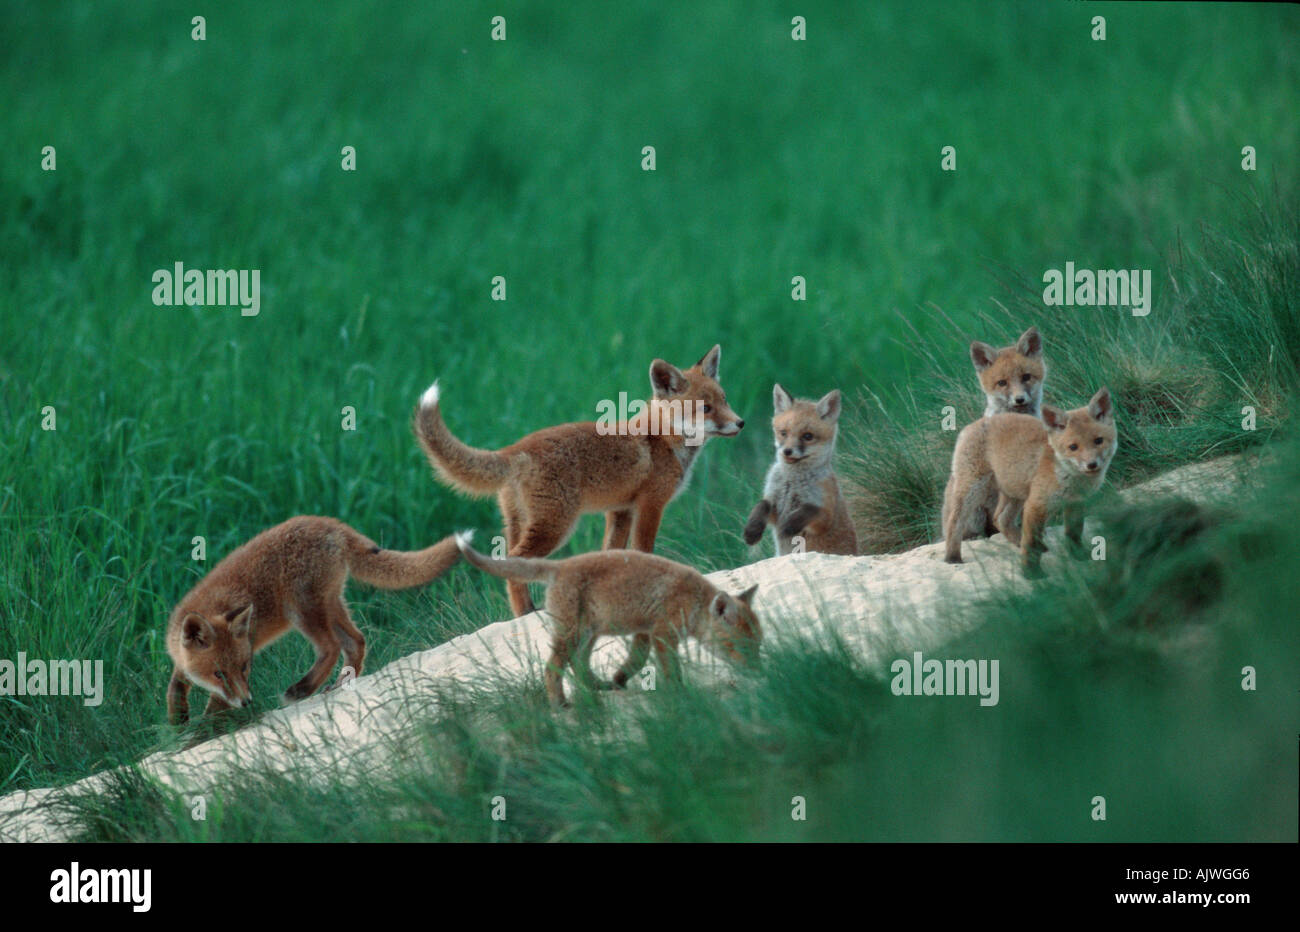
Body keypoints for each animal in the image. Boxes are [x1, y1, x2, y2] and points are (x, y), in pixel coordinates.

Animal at [165, 516, 460, 724]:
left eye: (245, 667)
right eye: (218, 673)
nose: (247, 702)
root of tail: (330, 524)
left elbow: (215, 706)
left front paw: (197, 735)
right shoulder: (182, 659)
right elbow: (175, 687)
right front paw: (177, 721)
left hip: (302, 611)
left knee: (330, 648)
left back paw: (302, 689)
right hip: (331, 605)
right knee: (356, 641)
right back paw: (341, 682)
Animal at [415, 345, 744, 617]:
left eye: (725, 399)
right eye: (705, 408)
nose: (741, 423)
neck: (663, 439)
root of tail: (516, 449)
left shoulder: (620, 511)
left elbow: (614, 555)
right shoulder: (650, 505)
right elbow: (643, 551)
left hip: (520, 523)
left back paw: (526, 611)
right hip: (555, 526)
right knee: (514, 561)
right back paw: (524, 615)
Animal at [455, 532, 761, 708]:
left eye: (757, 645)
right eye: (742, 647)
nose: (758, 671)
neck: (693, 600)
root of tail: (560, 565)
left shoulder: (646, 632)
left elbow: (635, 660)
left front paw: (619, 678)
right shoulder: (662, 633)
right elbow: (670, 670)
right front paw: (681, 694)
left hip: (590, 633)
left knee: (578, 664)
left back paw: (599, 686)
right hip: (571, 635)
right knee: (552, 668)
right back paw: (560, 705)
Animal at [743, 383, 857, 556]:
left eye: (808, 436)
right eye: (783, 433)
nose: (787, 451)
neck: (792, 481)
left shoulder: (825, 515)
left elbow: (810, 511)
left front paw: (788, 526)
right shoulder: (774, 504)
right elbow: (762, 504)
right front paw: (752, 530)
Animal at [943, 387, 1117, 571]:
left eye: (1098, 441)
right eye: (1073, 447)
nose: (1091, 464)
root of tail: (972, 425)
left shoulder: (1075, 503)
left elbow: (1074, 533)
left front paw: (1079, 556)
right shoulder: (1036, 504)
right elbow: (1032, 541)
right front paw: (1033, 571)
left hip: (1014, 492)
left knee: (1000, 519)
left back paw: (1019, 541)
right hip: (974, 489)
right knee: (954, 522)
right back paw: (952, 557)